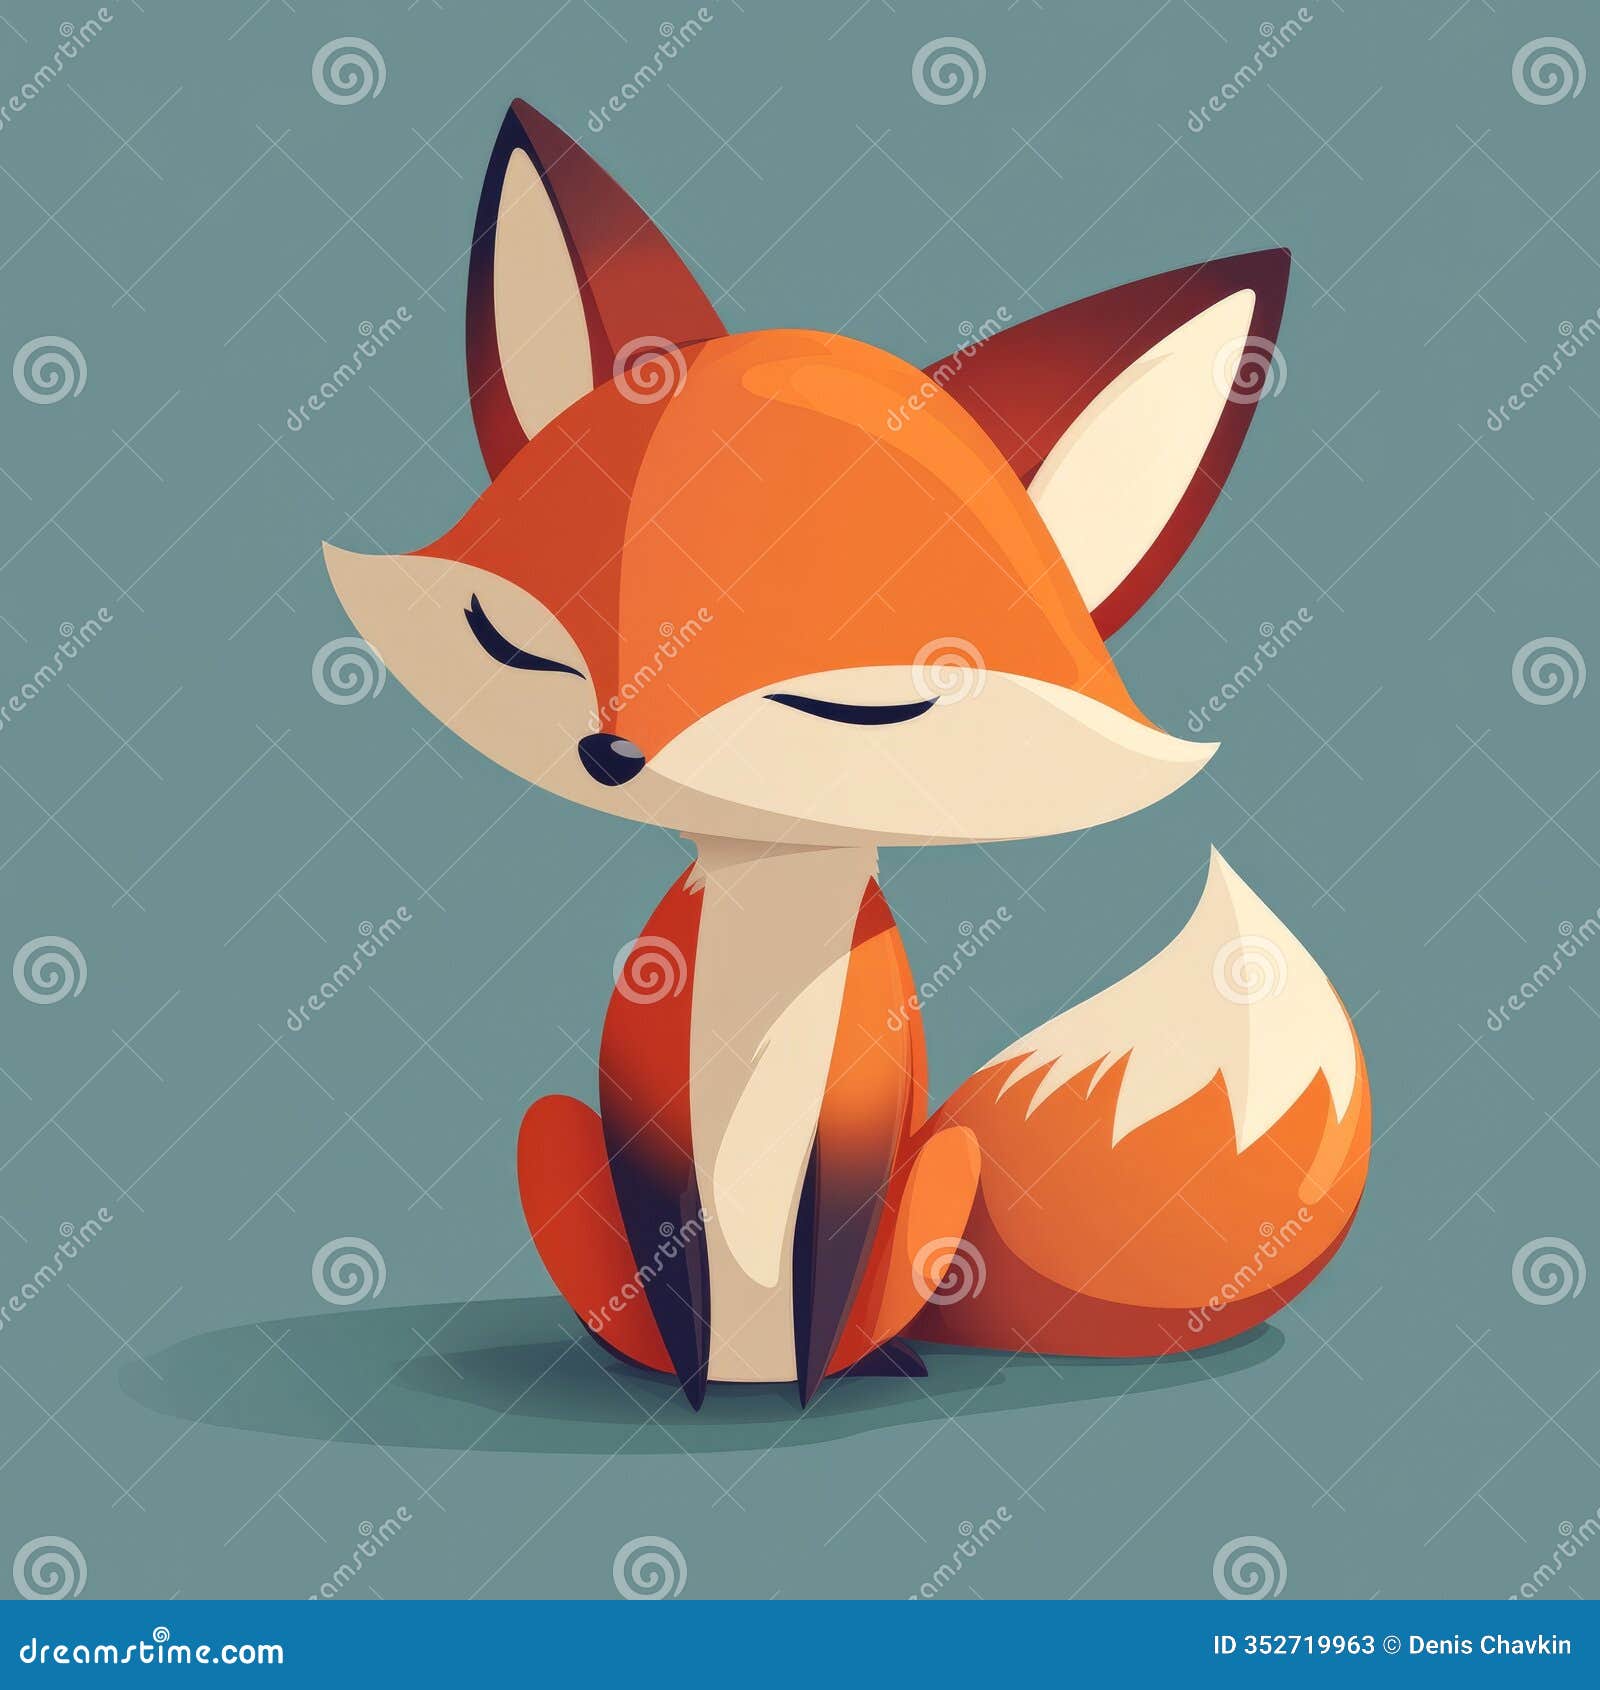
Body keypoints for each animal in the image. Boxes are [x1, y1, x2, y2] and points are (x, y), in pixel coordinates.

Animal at [324, 100, 1371, 1409]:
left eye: (858, 711)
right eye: (509, 641)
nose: (613, 750)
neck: (767, 946)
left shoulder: (868, 1108)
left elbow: (830, 1233)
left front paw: (803, 1391)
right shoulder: (637, 1096)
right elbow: (672, 1241)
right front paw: (699, 1389)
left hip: (945, 1172)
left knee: (882, 1300)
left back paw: (874, 1365)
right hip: (545, 1136)